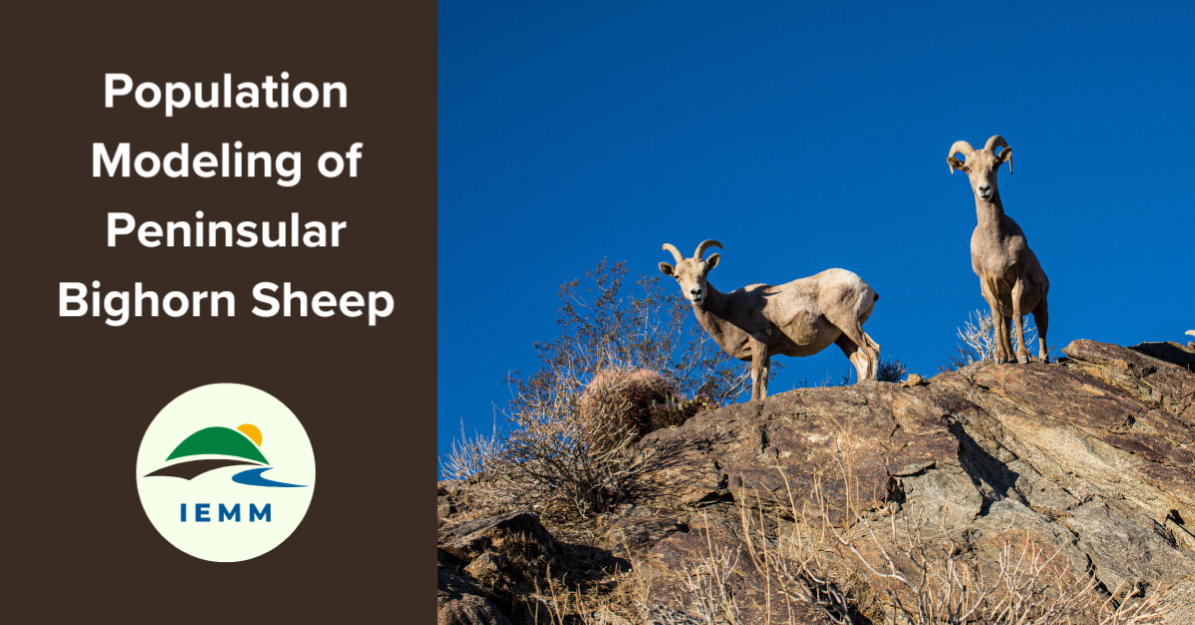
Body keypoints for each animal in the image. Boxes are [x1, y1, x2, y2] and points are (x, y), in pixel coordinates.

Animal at [659, 240, 881, 401]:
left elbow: (755, 375)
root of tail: (868, 288)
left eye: (704, 272)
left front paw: (752, 402)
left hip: (846, 322)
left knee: (872, 349)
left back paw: (870, 384)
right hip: (842, 336)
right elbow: (764, 380)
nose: (695, 293)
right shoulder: (767, 351)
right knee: (861, 360)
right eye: (677, 276)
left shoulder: (758, 339)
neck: (727, 309)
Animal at [948, 135, 1050, 364]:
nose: (984, 190)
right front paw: (1002, 357)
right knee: (1005, 325)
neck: (996, 246)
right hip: (1006, 307)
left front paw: (1023, 356)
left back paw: (1042, 358)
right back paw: (1010, 355)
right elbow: (997, 321)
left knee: (1041, 329)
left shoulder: (1018, 280)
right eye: (968, 168)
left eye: (994, 165)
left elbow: (1020, 316)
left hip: (1042, 304)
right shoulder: (988, 285)